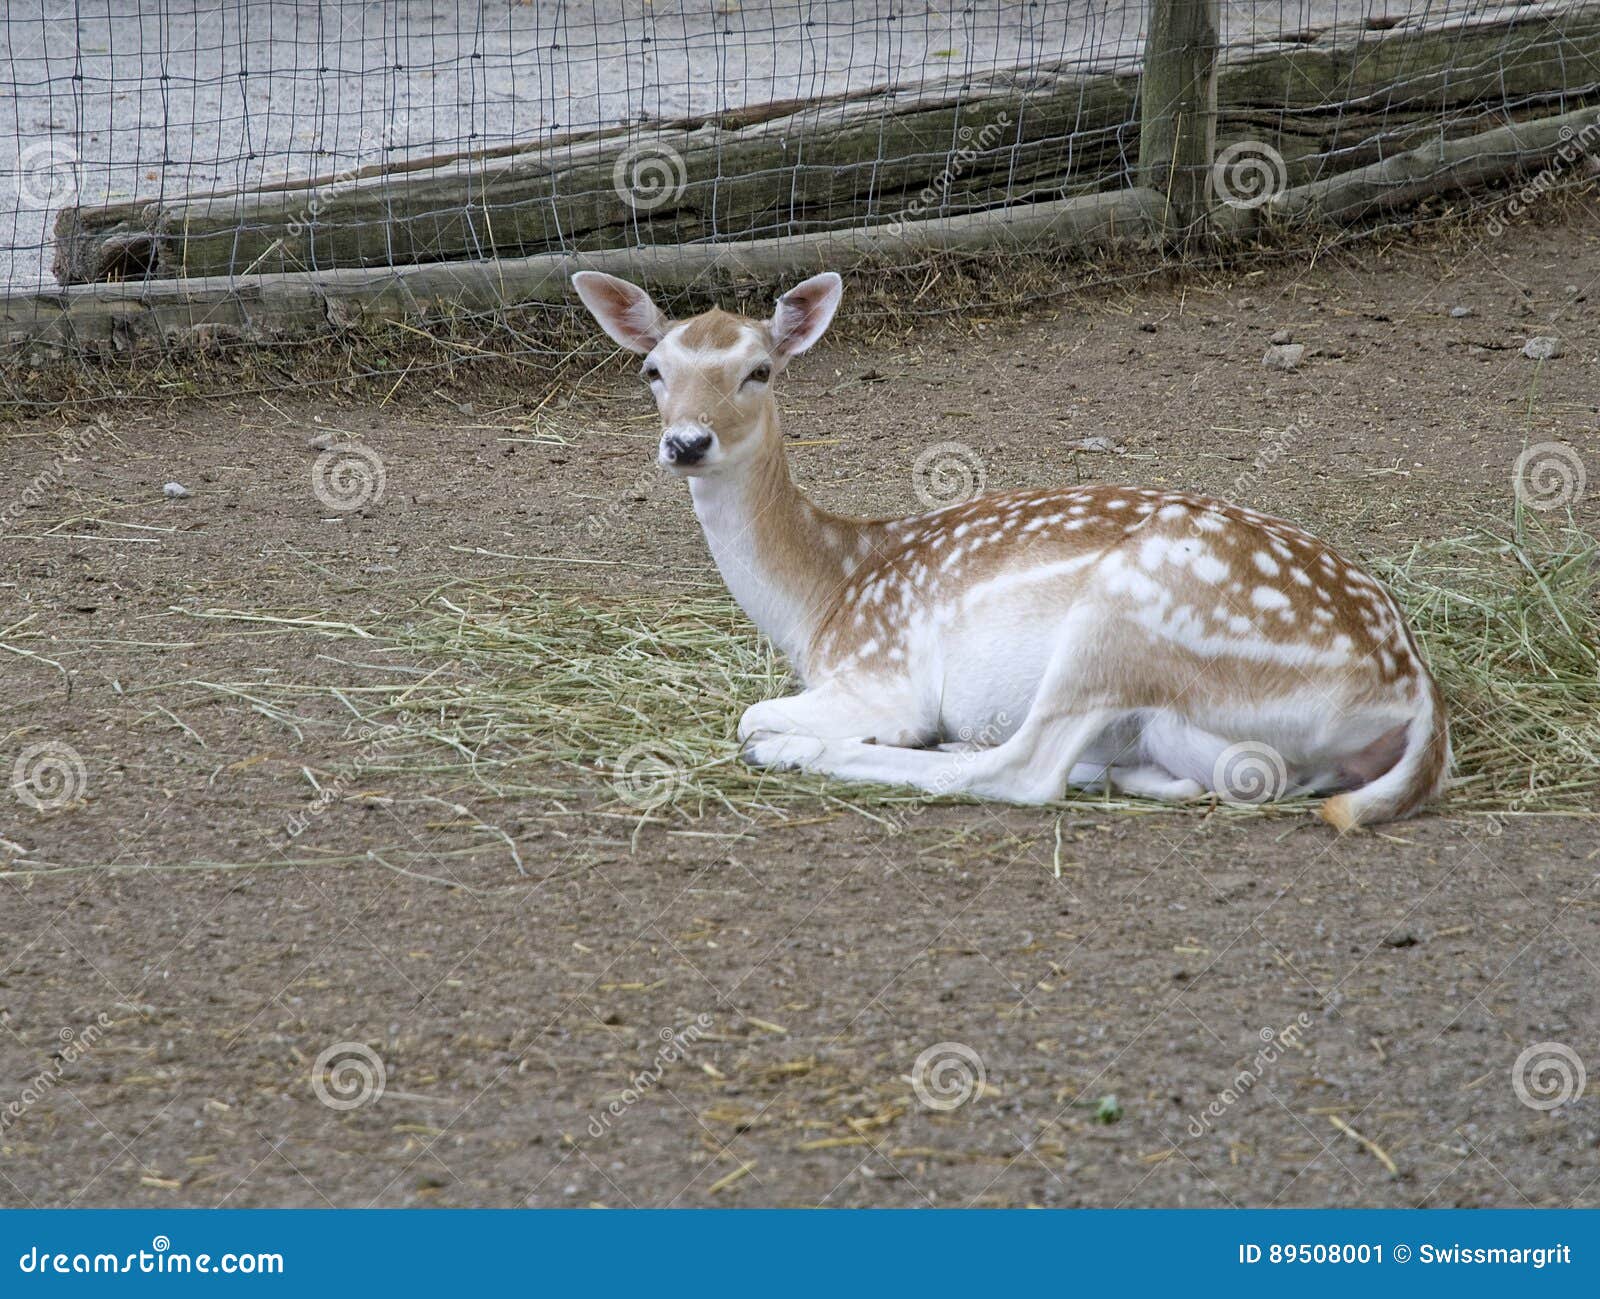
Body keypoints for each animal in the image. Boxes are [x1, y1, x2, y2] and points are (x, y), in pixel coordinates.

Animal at [572, 270, 1450, 828]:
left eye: (759, 370)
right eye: (652, 370)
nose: (687, 442)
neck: (824, 601)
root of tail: (1415, 698)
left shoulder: (883, 670)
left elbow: (753, 713)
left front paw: (819, 737)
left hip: (1126, 615)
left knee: (1026, 771)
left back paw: (809, 750)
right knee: (1231, 776)